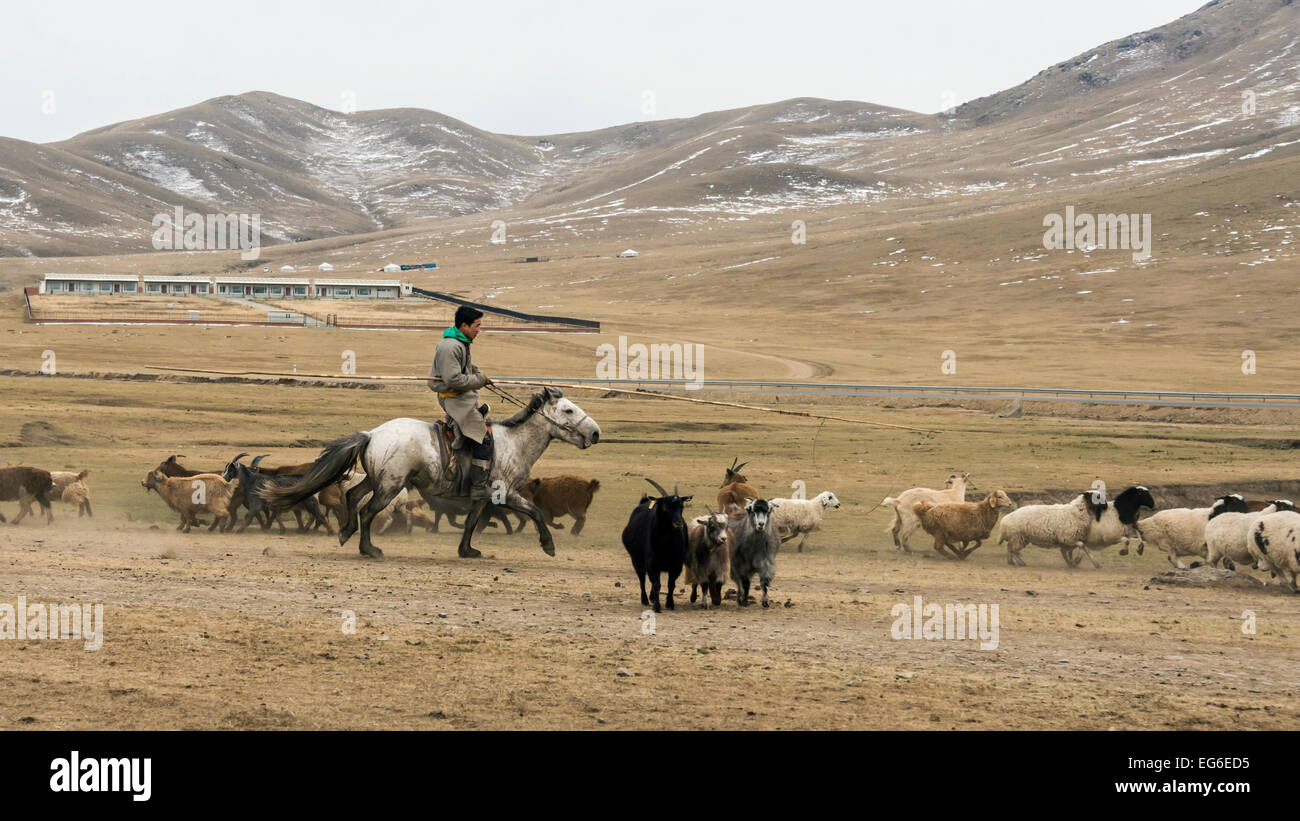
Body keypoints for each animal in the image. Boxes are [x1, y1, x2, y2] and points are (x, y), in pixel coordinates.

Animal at [622, 478, 692, 612]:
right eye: (665, 507)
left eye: (681, 506)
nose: (678, 523)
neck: (666, 544)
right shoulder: (652, 563)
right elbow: (656, 584)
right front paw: (657, 606)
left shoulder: (676, 565)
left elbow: (671, 584)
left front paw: (670, 603)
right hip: (636, 560)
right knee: (642, 579)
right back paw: (645, 600)